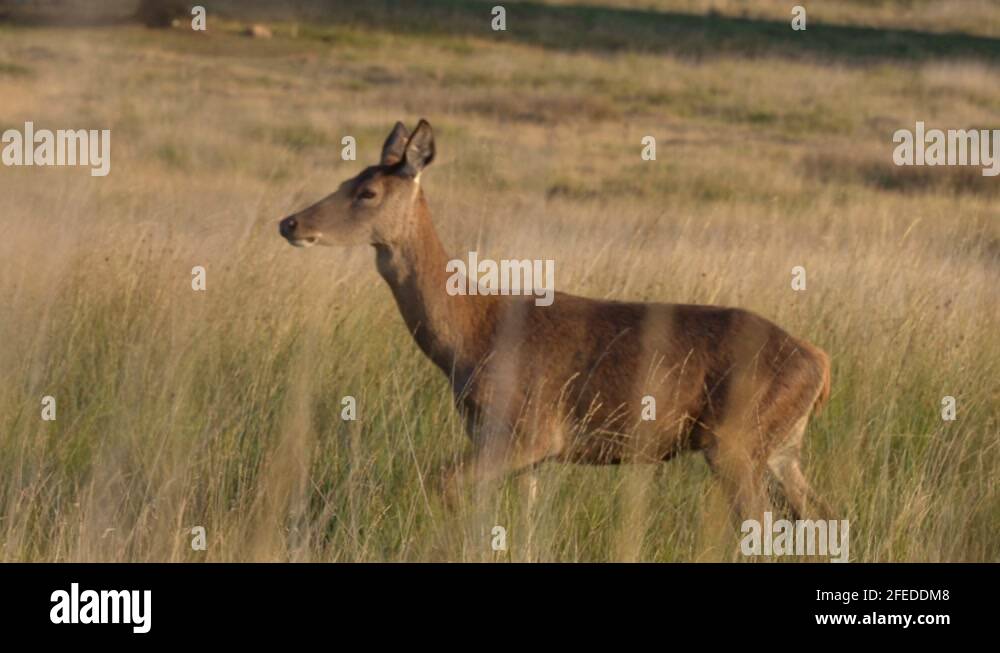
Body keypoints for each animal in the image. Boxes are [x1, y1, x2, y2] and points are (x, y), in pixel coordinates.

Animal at [278, 119, 833, 529]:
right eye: (344, 181)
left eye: (368, 192)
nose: (291, 222)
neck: (469, 337)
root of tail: (819, 362)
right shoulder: (527, 452)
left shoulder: (529, 430)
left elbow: (442, 483)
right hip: (782, 447)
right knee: (822, 512)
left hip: (734, 440)